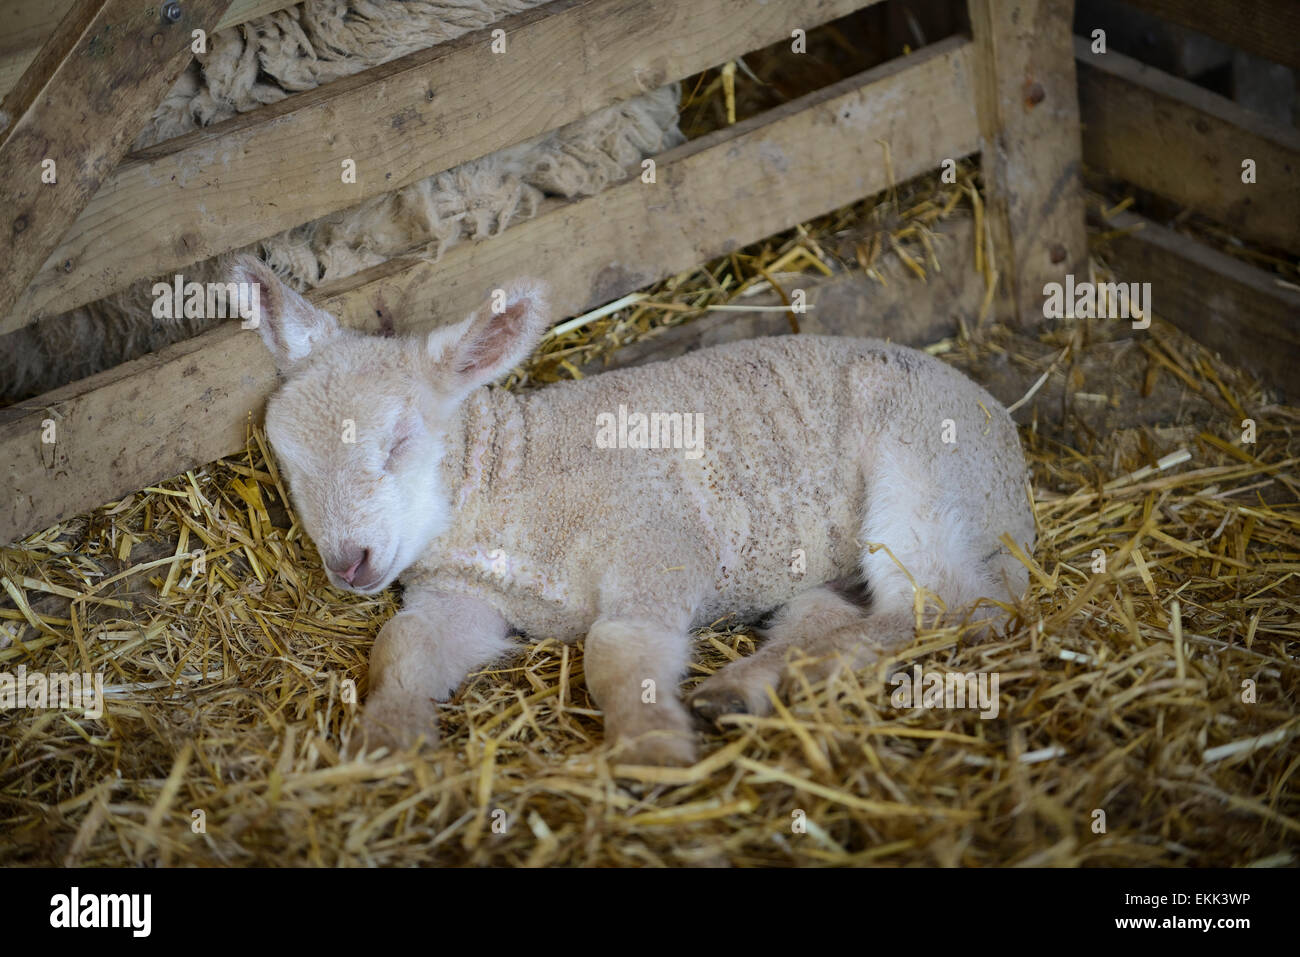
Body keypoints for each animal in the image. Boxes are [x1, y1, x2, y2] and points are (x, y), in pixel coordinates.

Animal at [235, 257, 1036, 766]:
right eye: (287, 464)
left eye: (399, 440)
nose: (350, 563)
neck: (509, 484)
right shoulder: (460, 597)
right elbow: (399, 647)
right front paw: (386, 737)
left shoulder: (656, 543)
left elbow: (618, 647)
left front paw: (650, 744)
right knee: (832, 614)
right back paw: (746, 685)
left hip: (925, 481)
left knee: (937, 610)